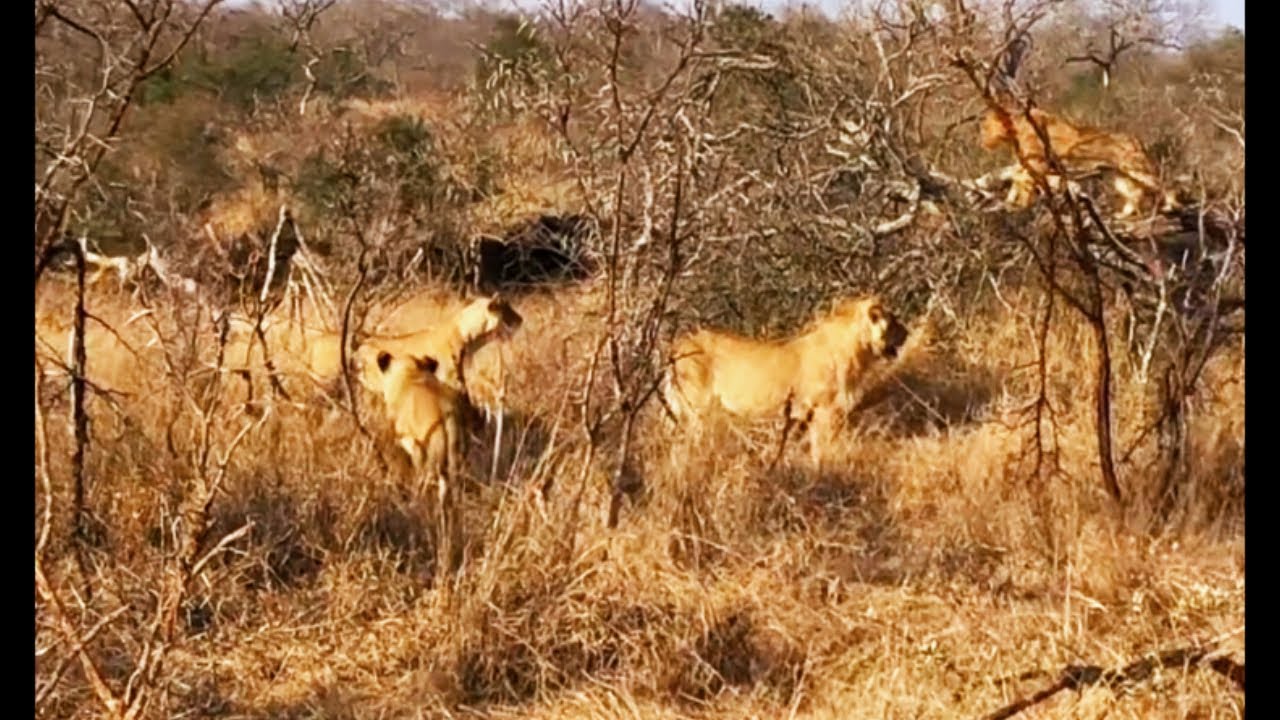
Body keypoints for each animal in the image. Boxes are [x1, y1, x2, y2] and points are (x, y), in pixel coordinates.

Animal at [662, 295, 909, 469]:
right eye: (894, 322)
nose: (907, 333)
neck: (860, 351)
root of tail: (677, 346)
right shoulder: (826, 411)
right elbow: (824, 450)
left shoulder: (814, 416)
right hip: (697, 412)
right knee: (686, 447)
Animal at [980, 104, 1180, 219]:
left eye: (986, 127)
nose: (981, 140)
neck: (1014, 130)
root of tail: (1135, 139)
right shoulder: (1029, 165)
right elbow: (1016, 179)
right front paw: (1008, 202)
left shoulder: (1037, 163)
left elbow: (1023, 183)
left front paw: (1019, 204)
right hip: (1119, 176)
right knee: (1134, 194)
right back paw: (1123, 215)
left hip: (1138, 169)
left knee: (1164, 184)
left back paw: (1170, 205)